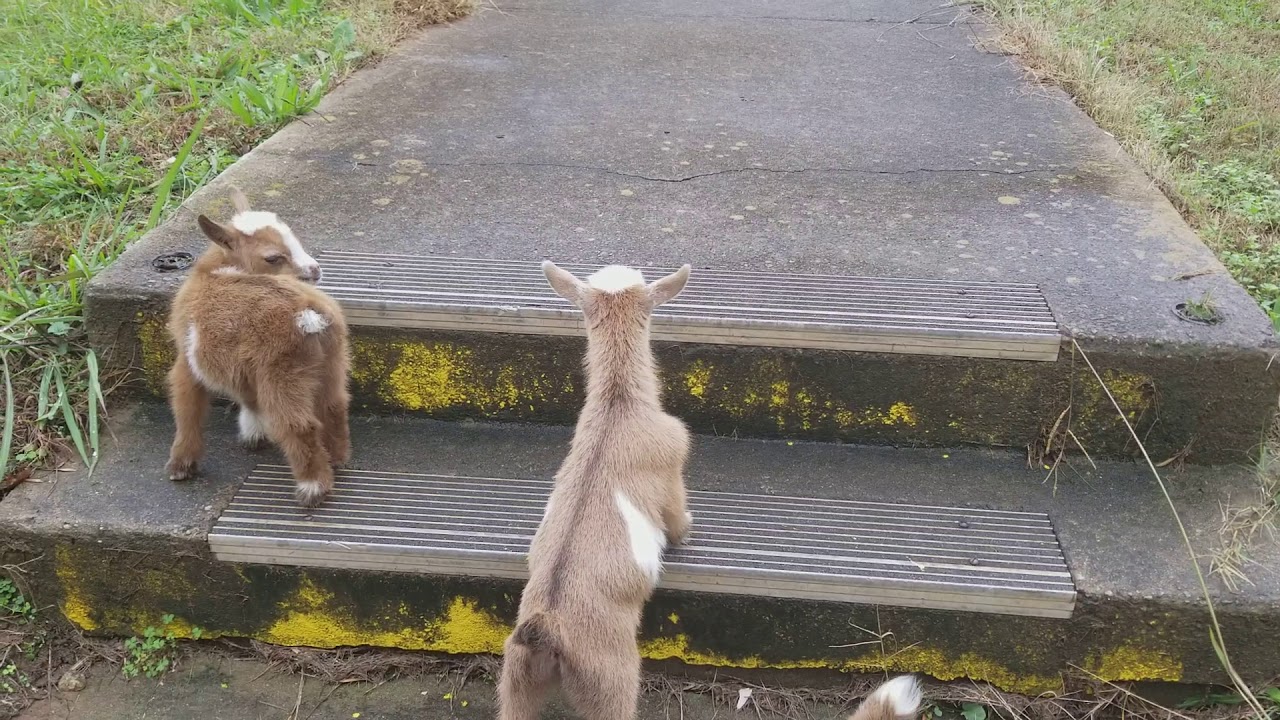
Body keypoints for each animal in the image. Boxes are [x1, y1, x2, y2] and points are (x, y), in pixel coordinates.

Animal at [164, 187, 350, 508]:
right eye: (273, 257)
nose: (315, 270)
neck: (216, 271)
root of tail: (307, 312)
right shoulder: (242, 367)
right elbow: (249, 399)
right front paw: (253, 435)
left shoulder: (187, 361)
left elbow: (187, 410)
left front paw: (180, 465)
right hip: (332, 359)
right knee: (334, 405)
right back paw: (337, 459)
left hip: (282, 374)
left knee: (299, 425)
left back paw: (312, 488)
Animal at [497, 261, 694, 720]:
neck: (618, 401)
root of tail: (548, 627)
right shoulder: (673, 461)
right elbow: (676, 515)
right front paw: (686, 531)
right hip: (609, 678)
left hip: (515, 677)